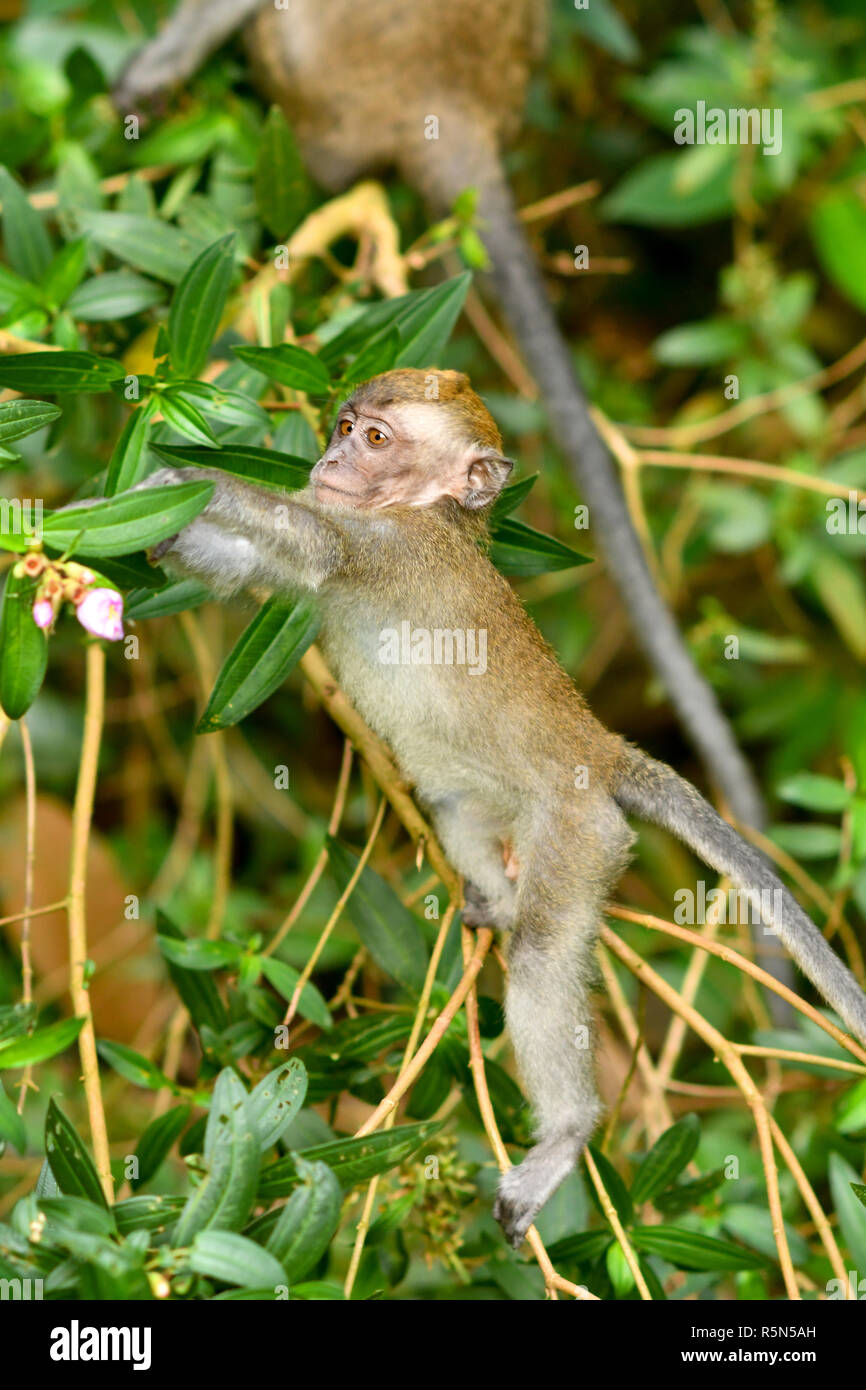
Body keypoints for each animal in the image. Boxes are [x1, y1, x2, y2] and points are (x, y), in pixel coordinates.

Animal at [124, 368, 866, 1247]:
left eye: (377, 439)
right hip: (496, 806)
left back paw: (568, 1132)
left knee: (544, 954)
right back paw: (498, 903)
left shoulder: (398, 551)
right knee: (453, 807)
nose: (331, 456)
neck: (429, 512)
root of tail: (602, 751)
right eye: (344, 425)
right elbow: (254, 562)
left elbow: (310, 540)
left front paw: (175, 484)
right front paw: (161, 533)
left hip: (580, 831)